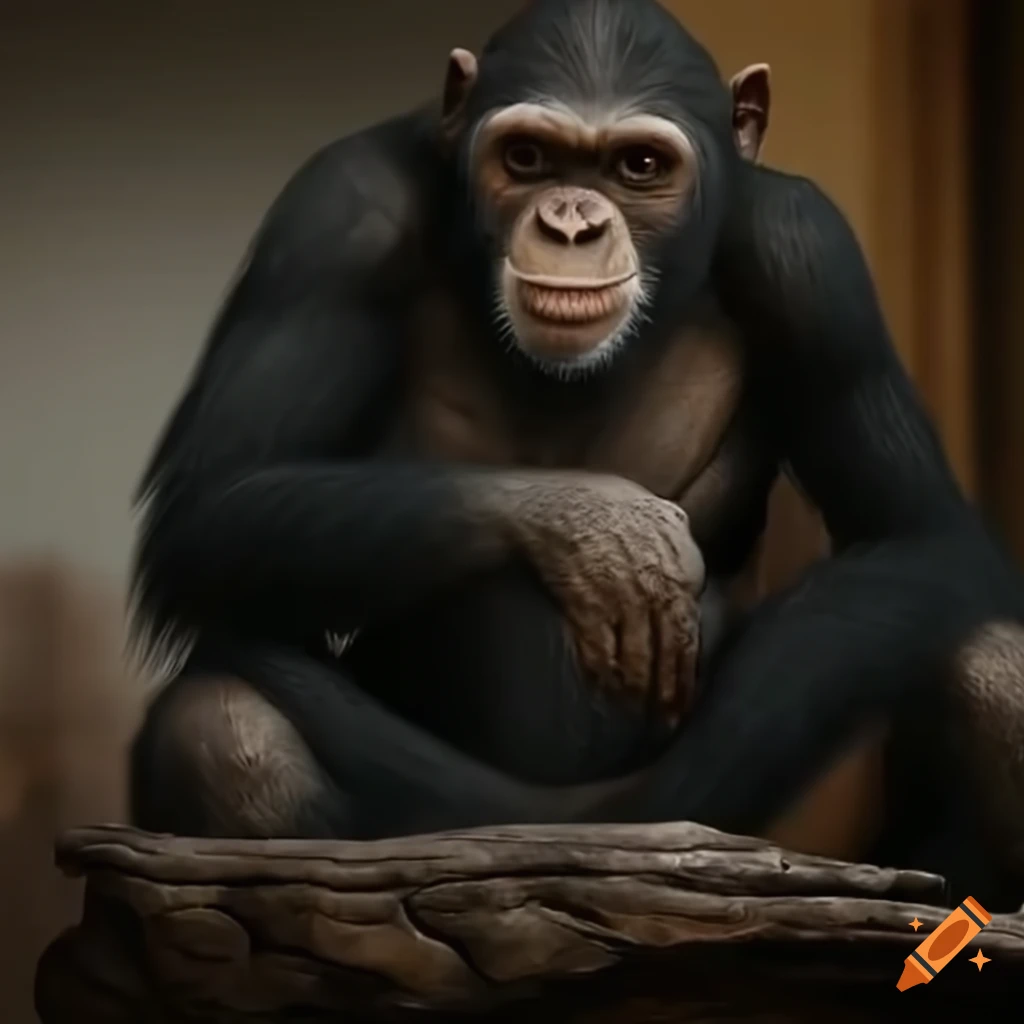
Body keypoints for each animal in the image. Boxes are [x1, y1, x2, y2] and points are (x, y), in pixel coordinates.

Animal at [128, 0, 1024, 910]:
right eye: (527, 157)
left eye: (639, 166)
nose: (571, 222)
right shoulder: (335, 221)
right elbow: (217, 504)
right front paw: (600, 528)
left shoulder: (811, 259)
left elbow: (916, 532)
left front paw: (656, 802)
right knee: (220, 725)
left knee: (991, 663)